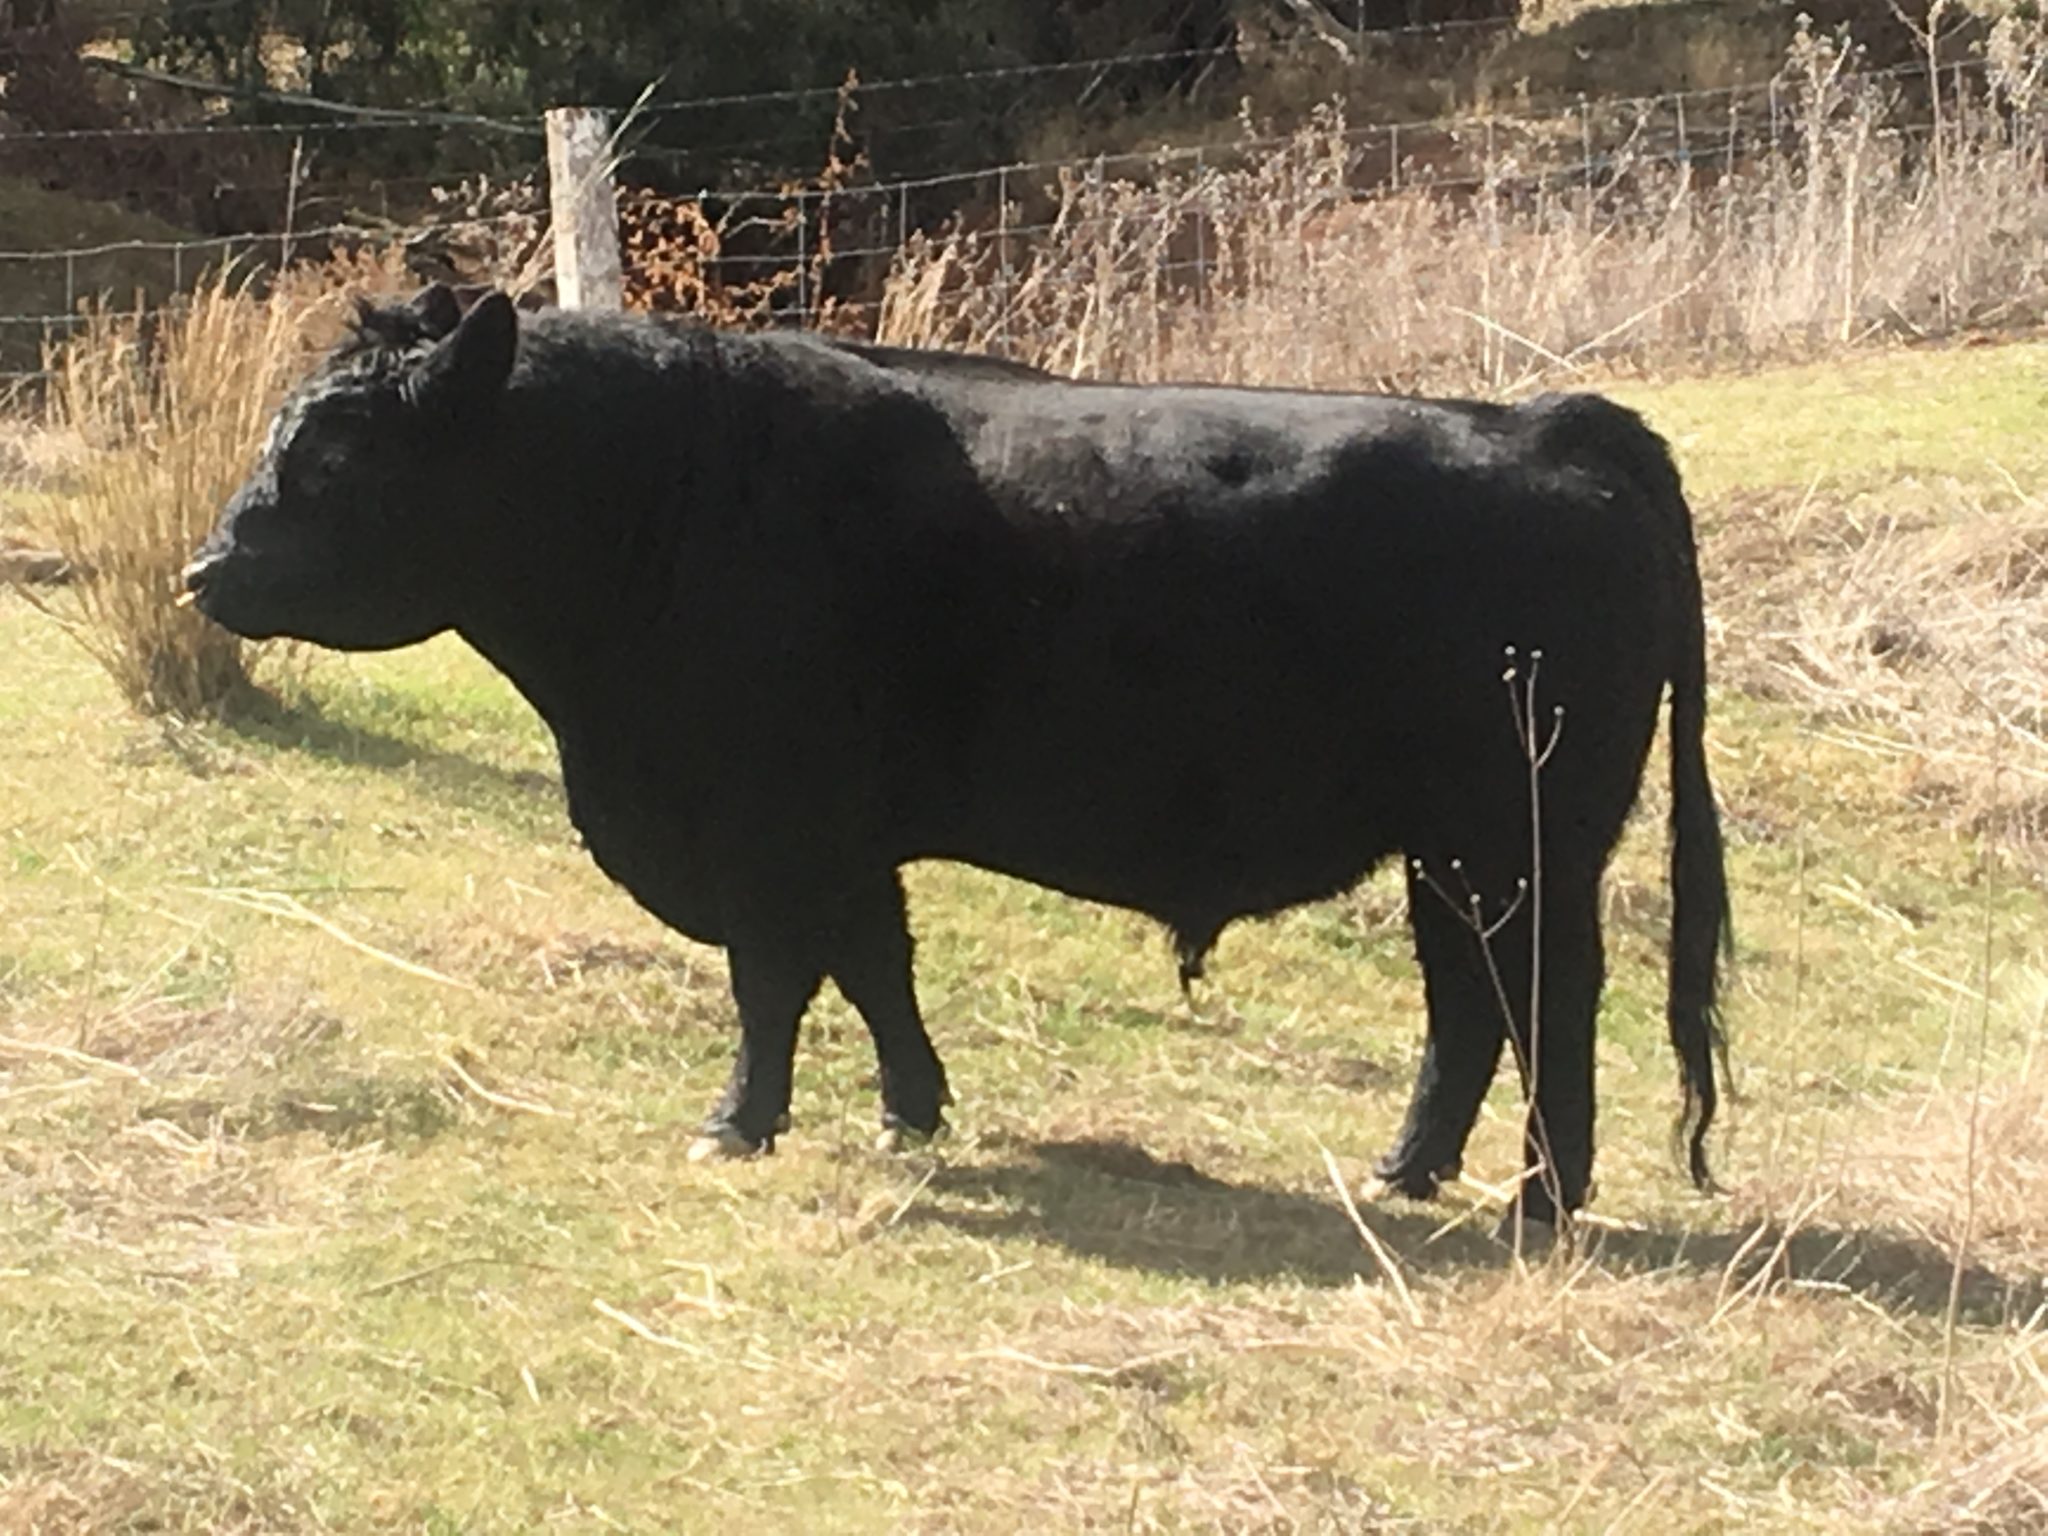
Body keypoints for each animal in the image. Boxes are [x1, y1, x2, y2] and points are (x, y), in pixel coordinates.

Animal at [182, 284, 1729, 1227]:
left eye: (333, 456)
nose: (204, 570)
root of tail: (1546, 423)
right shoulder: (841, 835)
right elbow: (876, 966)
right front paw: (912, 1112)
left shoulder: (770, 824)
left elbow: (773, 983)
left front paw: (737, 1125)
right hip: (1452, 850)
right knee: (1472, 1003)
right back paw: (1410, 1173)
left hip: (1517, 835)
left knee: (1543, 997)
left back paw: (1541, 1198)